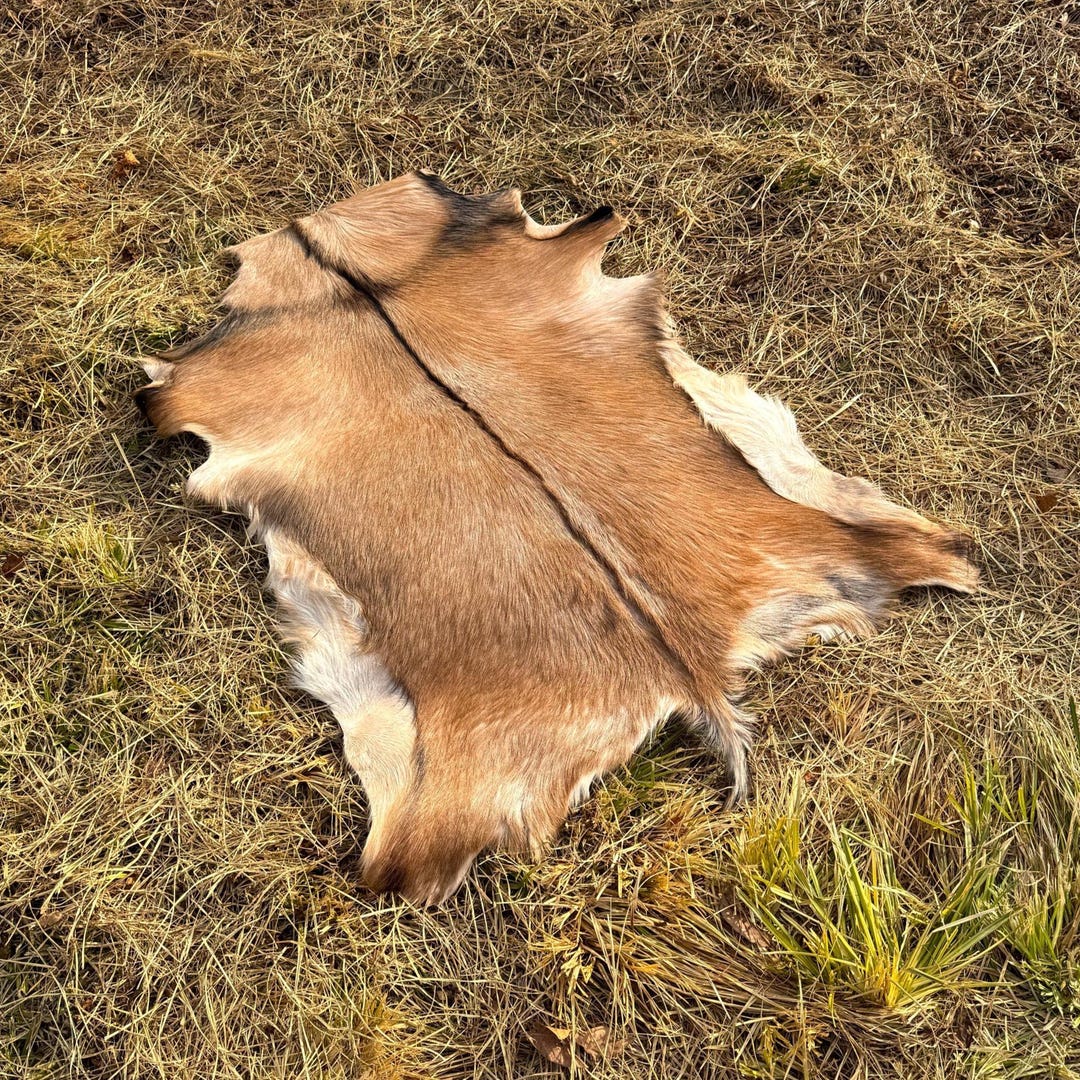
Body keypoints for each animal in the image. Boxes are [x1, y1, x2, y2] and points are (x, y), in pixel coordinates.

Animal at [136, 171, 977, 905]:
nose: (296, 224)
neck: (357, 283)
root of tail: (695, 671)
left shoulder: (196, 387)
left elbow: (159, 392)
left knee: (401, 871)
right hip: (822, 517)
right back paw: (953, 562)